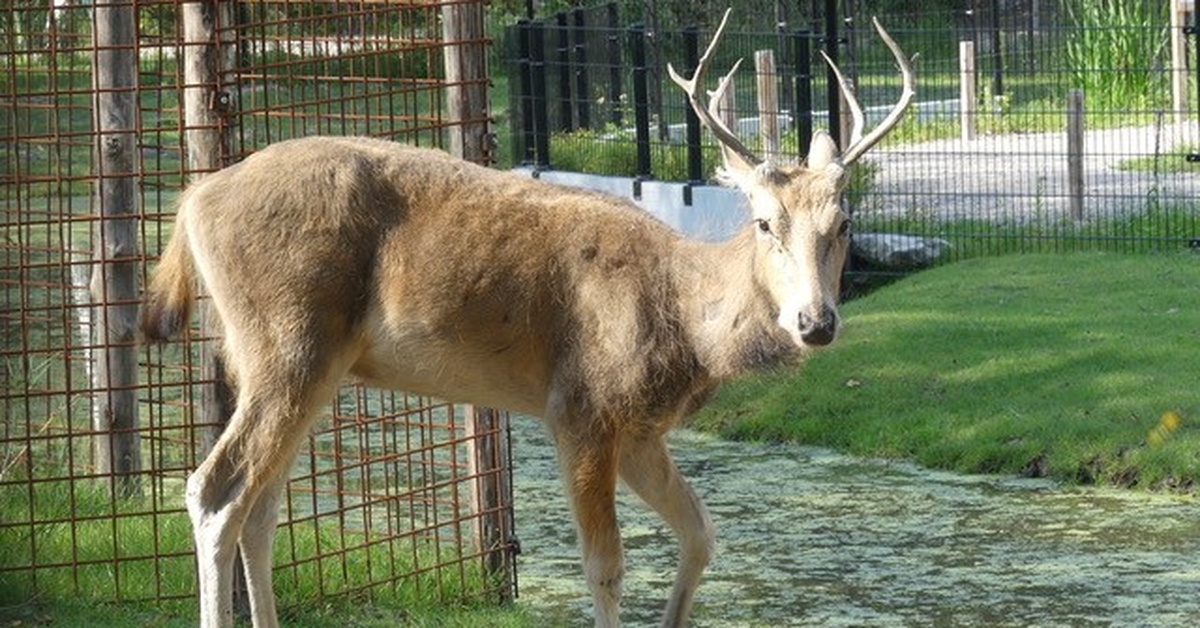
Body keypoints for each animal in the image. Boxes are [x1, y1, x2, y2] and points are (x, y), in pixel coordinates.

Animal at [140, 8, 914, 628]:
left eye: (844, 223)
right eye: (762, 221)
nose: (816, 322)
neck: (686, 330)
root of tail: (191, 203)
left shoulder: (641, 431)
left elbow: (701, 535)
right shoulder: (581, 407)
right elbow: (606, 570)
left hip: (306, 363)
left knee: (263, 505)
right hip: (285, 339)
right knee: (215, 494)